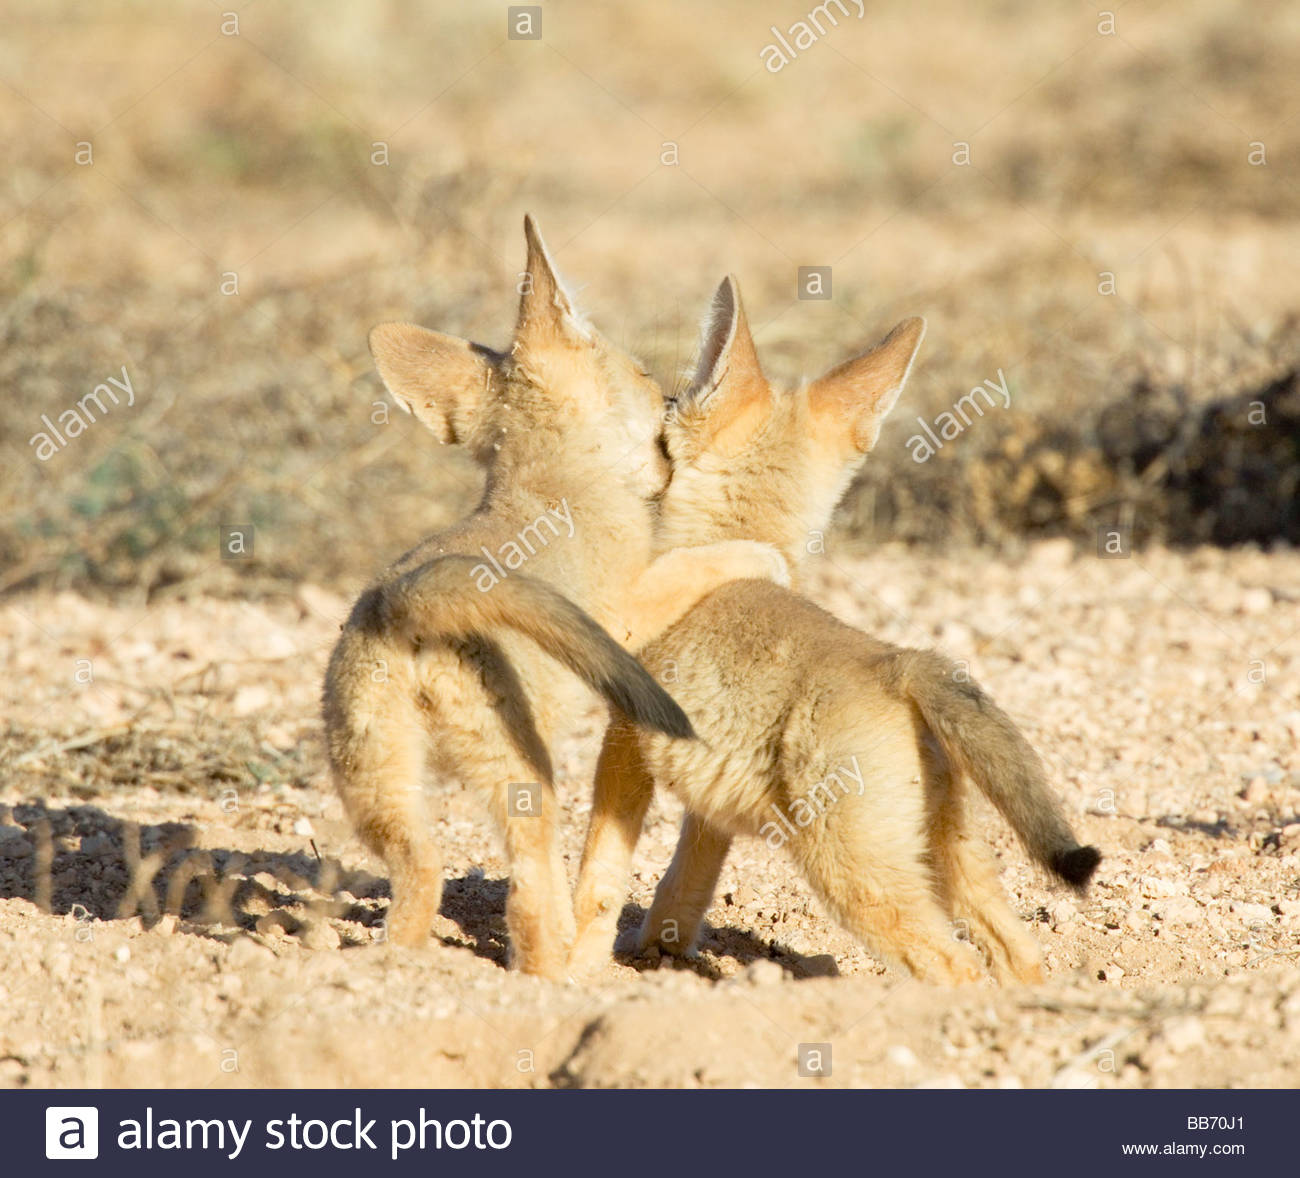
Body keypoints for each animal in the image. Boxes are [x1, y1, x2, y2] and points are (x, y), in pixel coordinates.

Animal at [323, 221, 787, 979]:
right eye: (646, 377)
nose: (669, 408)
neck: (549, 478)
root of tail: (408, 602)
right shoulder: (627, 609)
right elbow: (696, 563)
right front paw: (761, 556)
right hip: (525, 779)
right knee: (527, 896)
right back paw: (561, 970)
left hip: (377, 790)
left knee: (419, 880)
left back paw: (405, 963)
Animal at [569, 276, 1100, 984]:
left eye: (675, 402)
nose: (658, 411)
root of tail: (900, 664)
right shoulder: (710, 800)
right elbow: (684, 885)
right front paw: (658, 952)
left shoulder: (625, 741)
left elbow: (597, 877)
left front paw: (568, 967)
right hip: (947, 859)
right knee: (1018, 954)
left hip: (855, 877)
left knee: (954, 966)